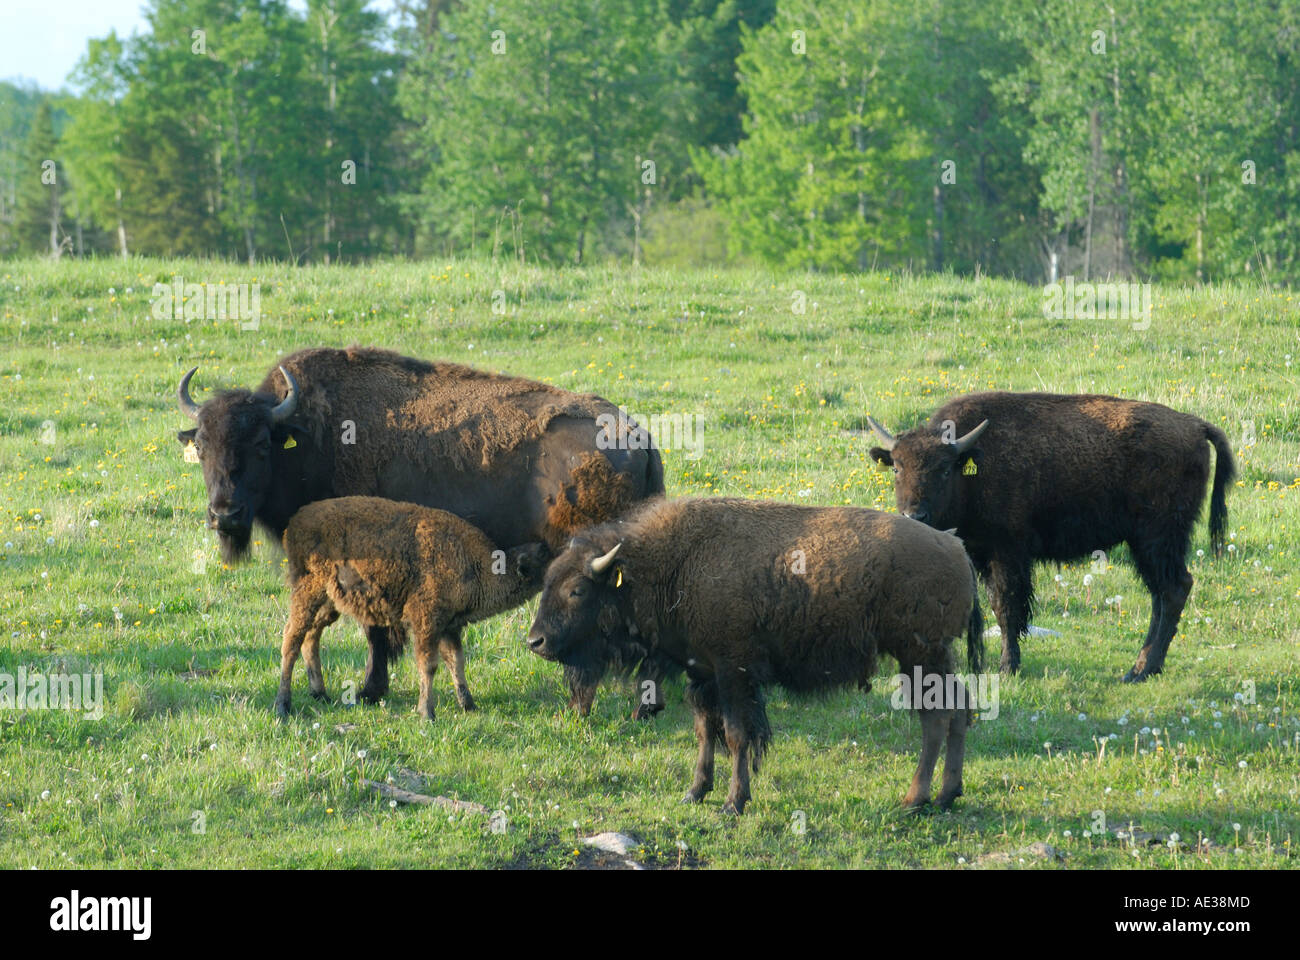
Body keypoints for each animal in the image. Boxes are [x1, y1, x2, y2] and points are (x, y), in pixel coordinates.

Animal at [176, 345, 666, 715]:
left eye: (261, 444)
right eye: (201, 445)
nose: (225, 514)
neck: (312, 435)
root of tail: (639, 438)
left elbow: (375, 629)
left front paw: (370, 690)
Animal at [526, 496, 983, 814]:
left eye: (577, 590)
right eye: (548, 581)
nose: (536, 642)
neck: (670, 564)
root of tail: (957, 548)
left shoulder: (734, 673)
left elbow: (736, 734)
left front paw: (733, 803)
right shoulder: (702, 675)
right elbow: (705, 732)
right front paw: (694, 793)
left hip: (918, 656)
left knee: (935, 718)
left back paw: (914, 800)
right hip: (934, 660)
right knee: (959, 709)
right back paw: (947, 796)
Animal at [866, 391, 1235, 682]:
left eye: (944, 469)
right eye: (897, 467)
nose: (914, 517)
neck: (973, 466)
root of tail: (1195, 426)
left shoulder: (1007, 552)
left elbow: (1007, 606)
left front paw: (1008, 668)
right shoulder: (979, 553)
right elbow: (988, 606)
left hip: (1156, 539)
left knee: (1174, 589)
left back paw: (1141, 671)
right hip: (1147, 545)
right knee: (1160, 594)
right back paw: (1142, 667)